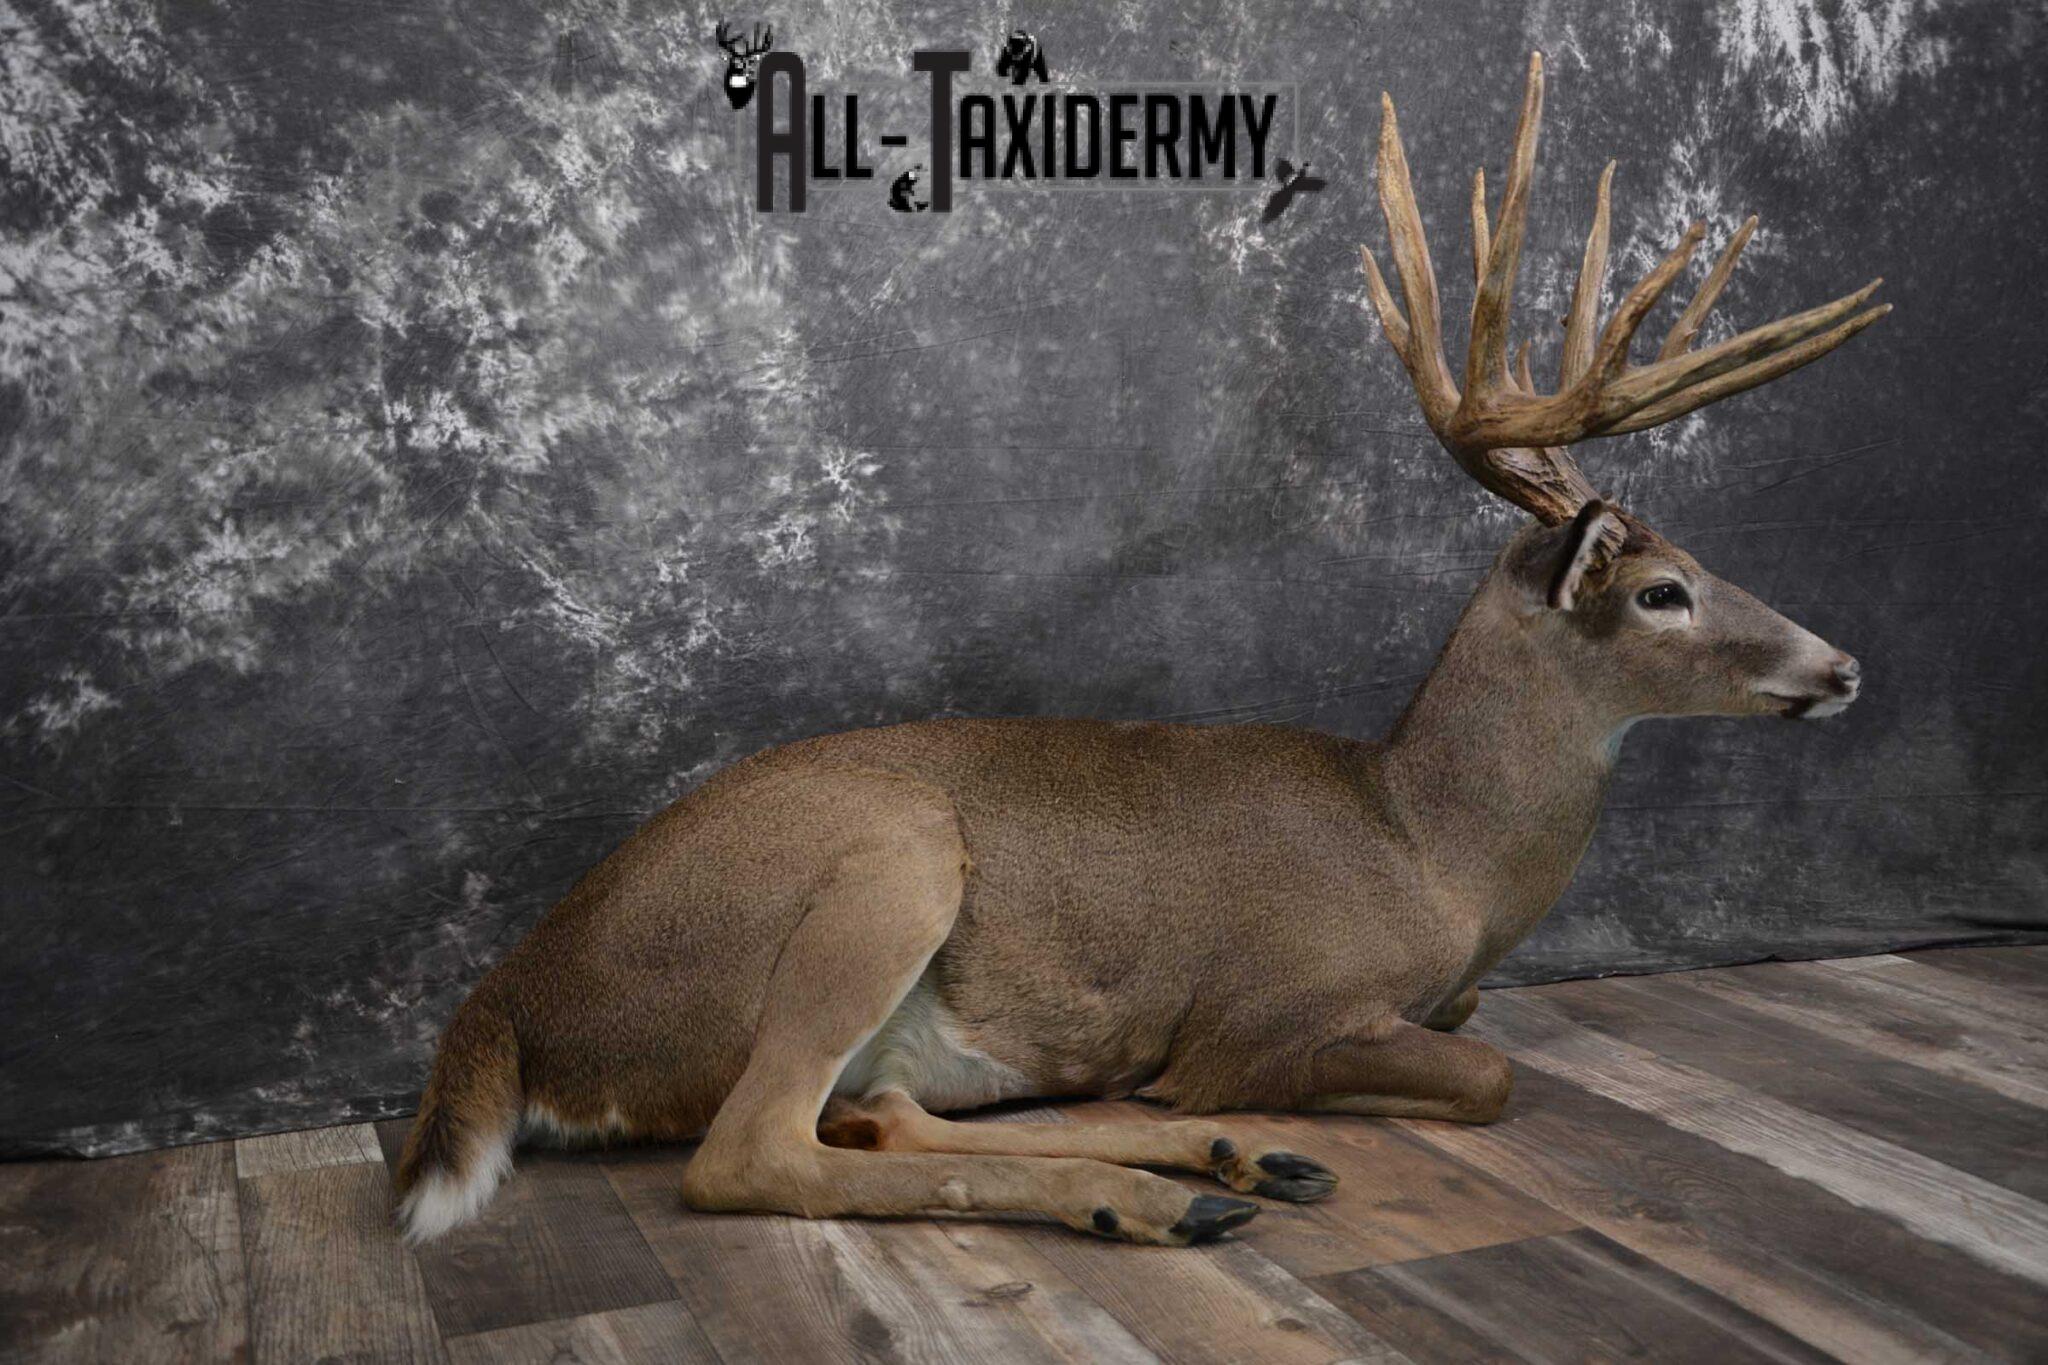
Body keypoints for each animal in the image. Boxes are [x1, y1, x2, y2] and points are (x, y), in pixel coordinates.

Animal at [395, 53, 1885, 1247]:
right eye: (1662, 593)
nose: (1840, 667)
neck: (1434, 850)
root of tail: (511, 1001)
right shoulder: (1268, 1012)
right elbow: (1484, 1071)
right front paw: (1229, 1115)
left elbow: (1473, 1037)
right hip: (884, 855)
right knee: (750, 1153)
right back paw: (1156, 1194)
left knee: (875, 1109)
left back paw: (1226, 1166)